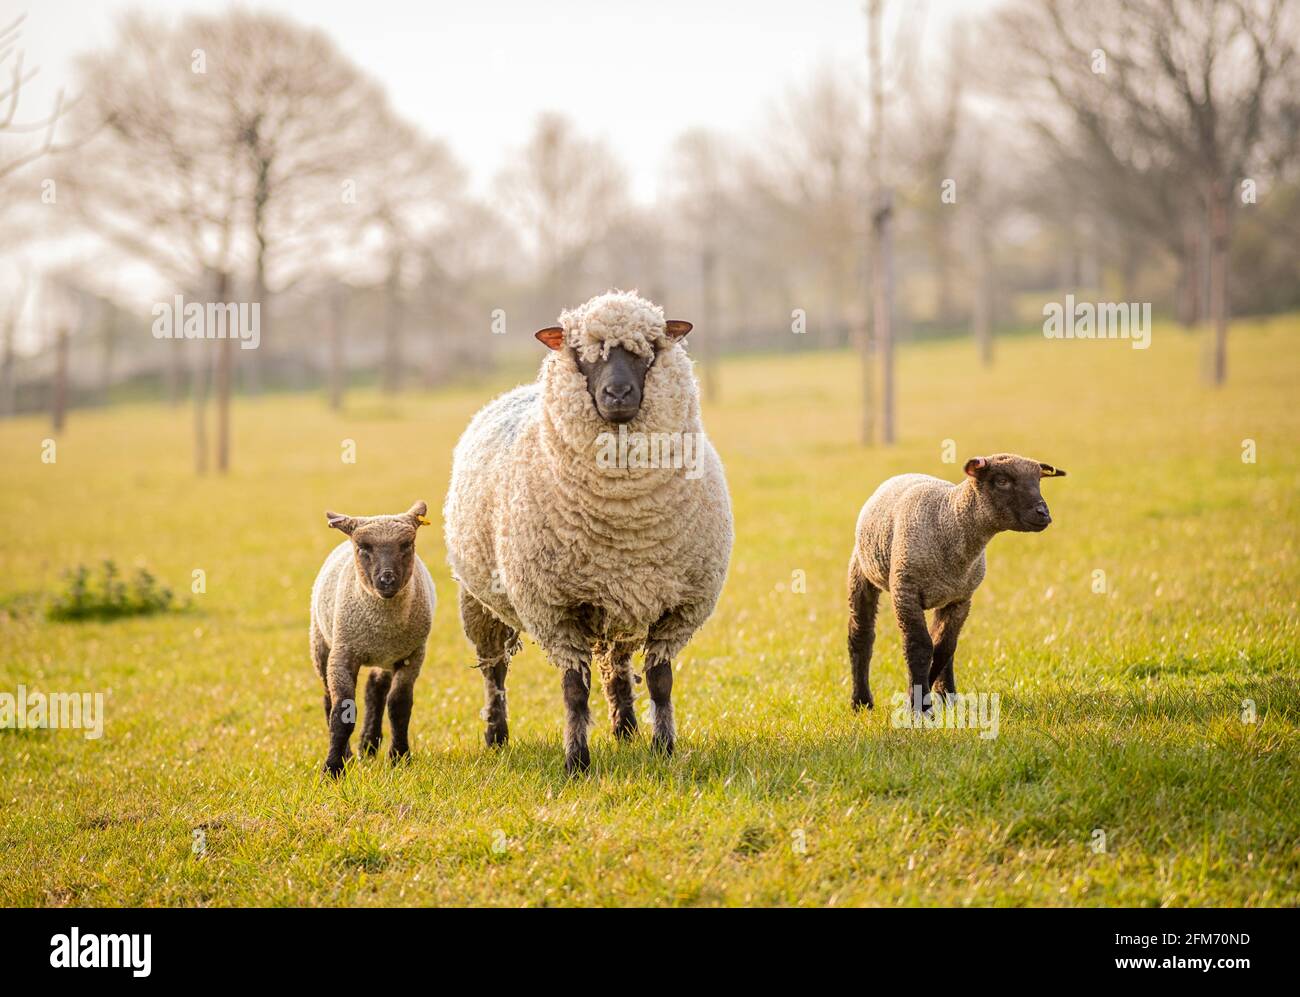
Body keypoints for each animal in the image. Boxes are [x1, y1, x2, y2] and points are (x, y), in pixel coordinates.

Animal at [310, 500, 436, 775]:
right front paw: (333, 769)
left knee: (375, 688)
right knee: (327, 699)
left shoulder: (412, 655)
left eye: (407, 545)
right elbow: (342, 712)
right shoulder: (343, 653)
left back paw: (368, 744)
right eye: (363, 547)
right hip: (320, 644)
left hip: (387, 655)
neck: (382, 622)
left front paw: (400, 757)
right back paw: (349, 752)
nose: (387, 580)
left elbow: (399, 705)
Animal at [444, 289, 733, 773]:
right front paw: (576, 761)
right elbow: (574, 691)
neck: (626, 517)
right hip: (479, 601)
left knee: (616, 663)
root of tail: (513, 391)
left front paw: (663, 749)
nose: (616, 393)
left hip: (620, 604)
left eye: (648, 349)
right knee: (493, 672)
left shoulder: (677, 607)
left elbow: (660, 681)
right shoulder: (554, 610)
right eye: (580, 354)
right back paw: (496, 736)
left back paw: (626, 728)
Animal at [847, 454, 1066, 712]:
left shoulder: (962, 599)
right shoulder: (905, 591)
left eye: (1038, 480)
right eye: (1001, 481)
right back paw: (861, 702)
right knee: (861, 636)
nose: (1043, 513)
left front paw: (923, 694)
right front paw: (919, 707)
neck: (948, 519)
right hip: (861, 573)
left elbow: (943, 647)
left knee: (945, 647)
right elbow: (919, 647)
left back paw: (948, 696)